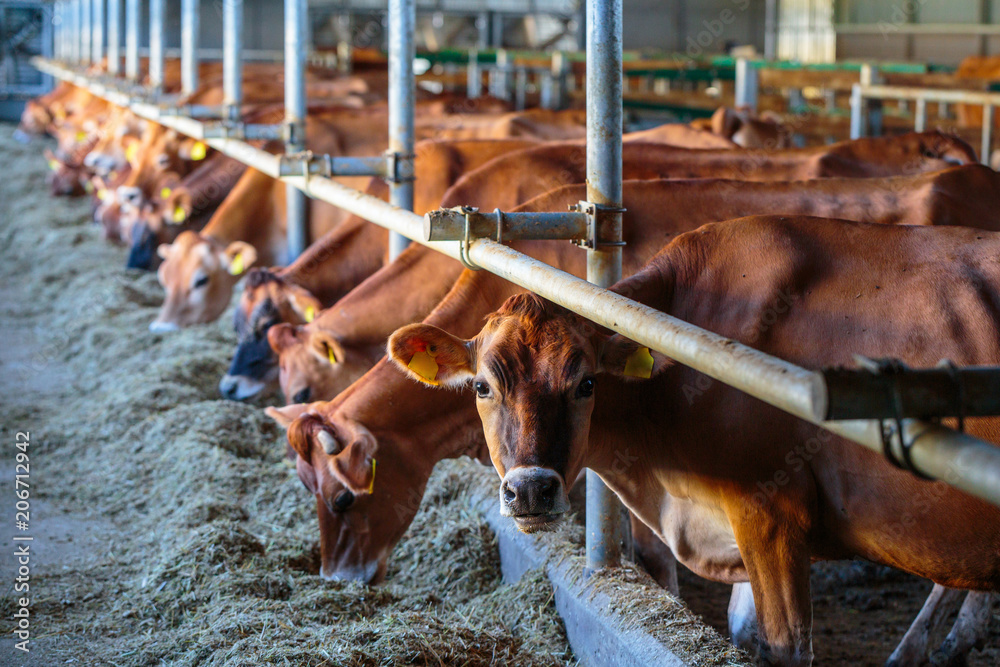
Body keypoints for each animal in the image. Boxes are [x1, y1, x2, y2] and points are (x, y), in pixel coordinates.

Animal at [389, 215, 1000, 666]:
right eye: (483, 386)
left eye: (586, 383)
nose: (532, 490)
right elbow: (743, 631)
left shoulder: (769, 512)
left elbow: (783, 646)